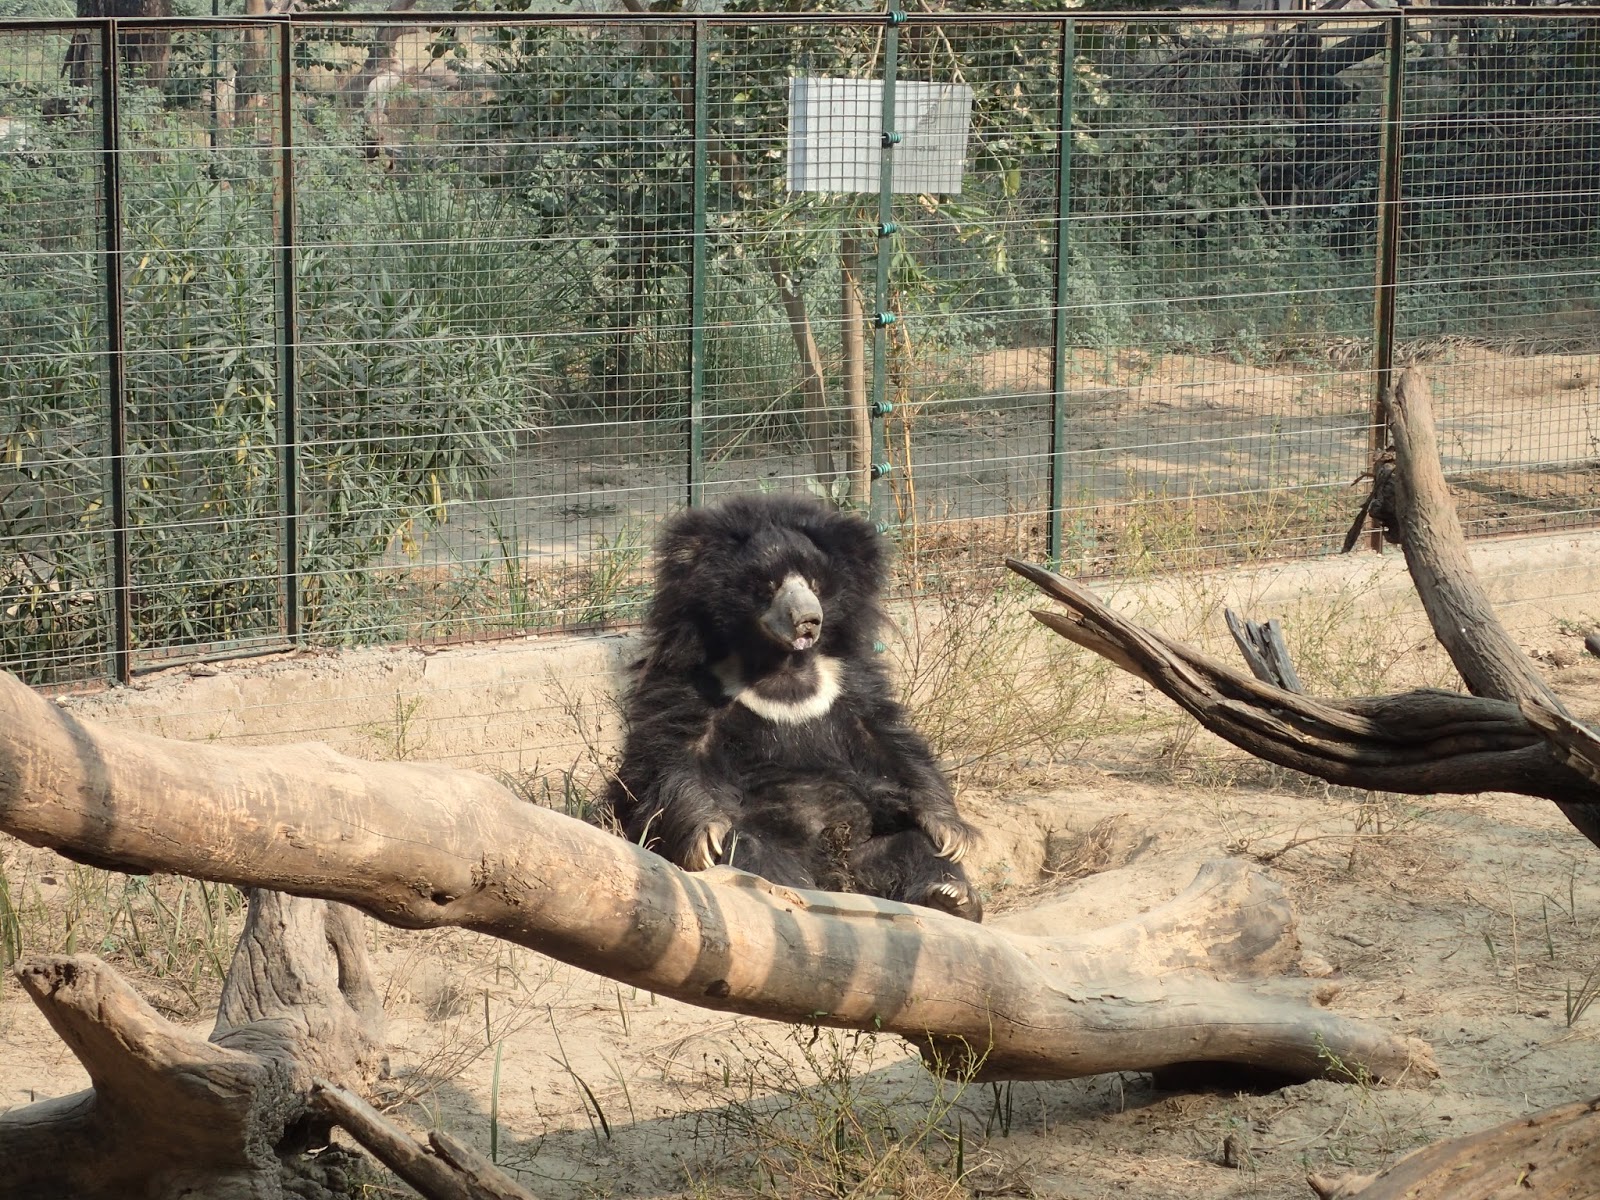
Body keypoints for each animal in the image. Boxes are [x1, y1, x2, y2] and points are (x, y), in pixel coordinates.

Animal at [606, 492, 983, 921]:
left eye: (816, 583)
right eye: (769, 586)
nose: (809, 620)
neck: (783, 667)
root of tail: (833, 873)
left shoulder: (849, 683)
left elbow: (894, 747)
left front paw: (952, 831)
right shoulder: (690, 687)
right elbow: (676, 759)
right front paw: (706, 837)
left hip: (871, 844)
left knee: (912, 844)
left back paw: (950, 897)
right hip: (773, 846)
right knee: (751, 852)